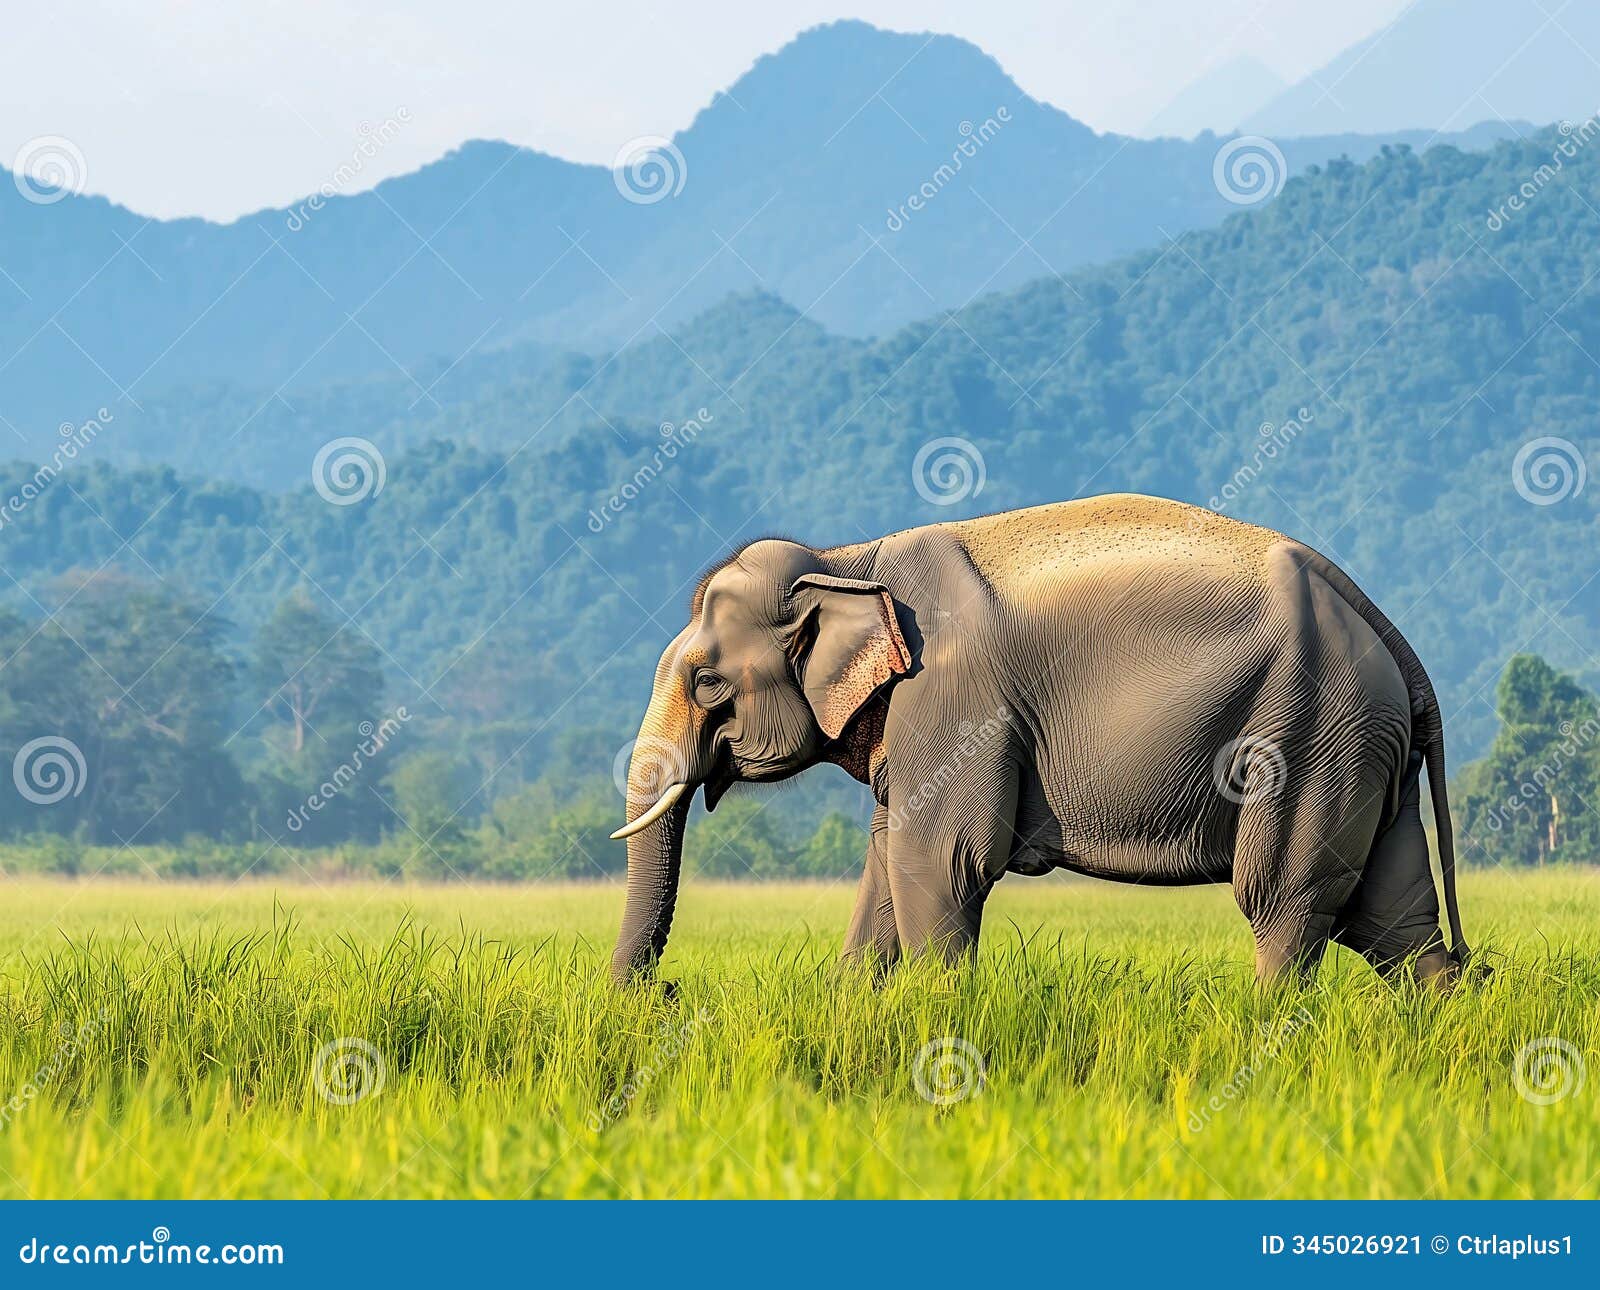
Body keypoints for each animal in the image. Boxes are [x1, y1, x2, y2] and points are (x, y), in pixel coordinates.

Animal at [609, 493, 1467, 989]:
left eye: (708, 683)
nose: (666, 989)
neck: (849, 558)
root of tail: (1392, 638)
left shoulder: (955, 707)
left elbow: (940, 862)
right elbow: (888, 861)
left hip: (1311, 736)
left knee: (1285, 902)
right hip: (1364, 747)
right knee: (1394, 922)